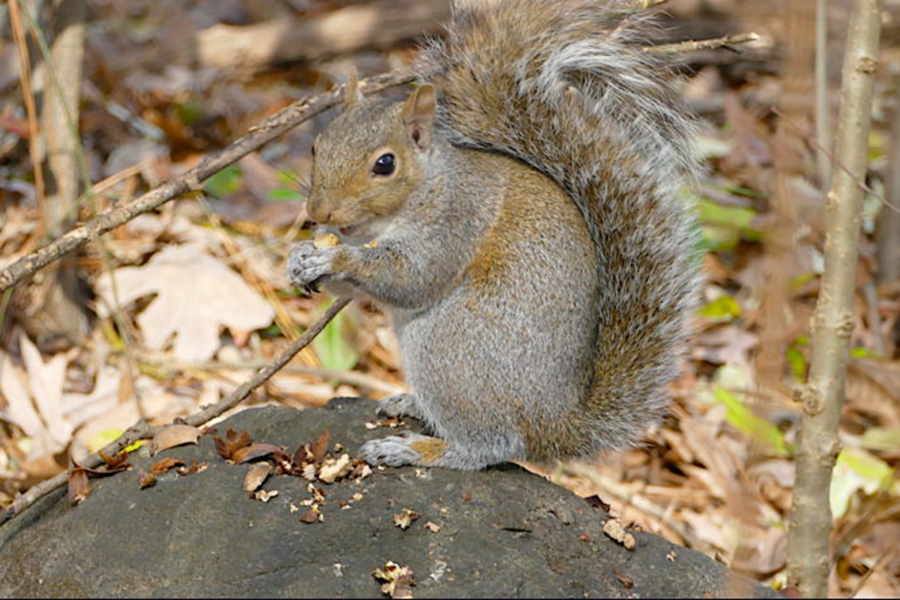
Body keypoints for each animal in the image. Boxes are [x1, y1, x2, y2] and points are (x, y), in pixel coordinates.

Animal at [288, 0, 700, 470]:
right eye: (318, 145)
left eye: (385, 164)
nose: (318, 211)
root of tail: (552, 422)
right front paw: (301, 258)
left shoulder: (455, 221)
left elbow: (411, 278)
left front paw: (336, 259)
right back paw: (412, 405)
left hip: (450, 346)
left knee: (490, 445)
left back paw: (418, 449)